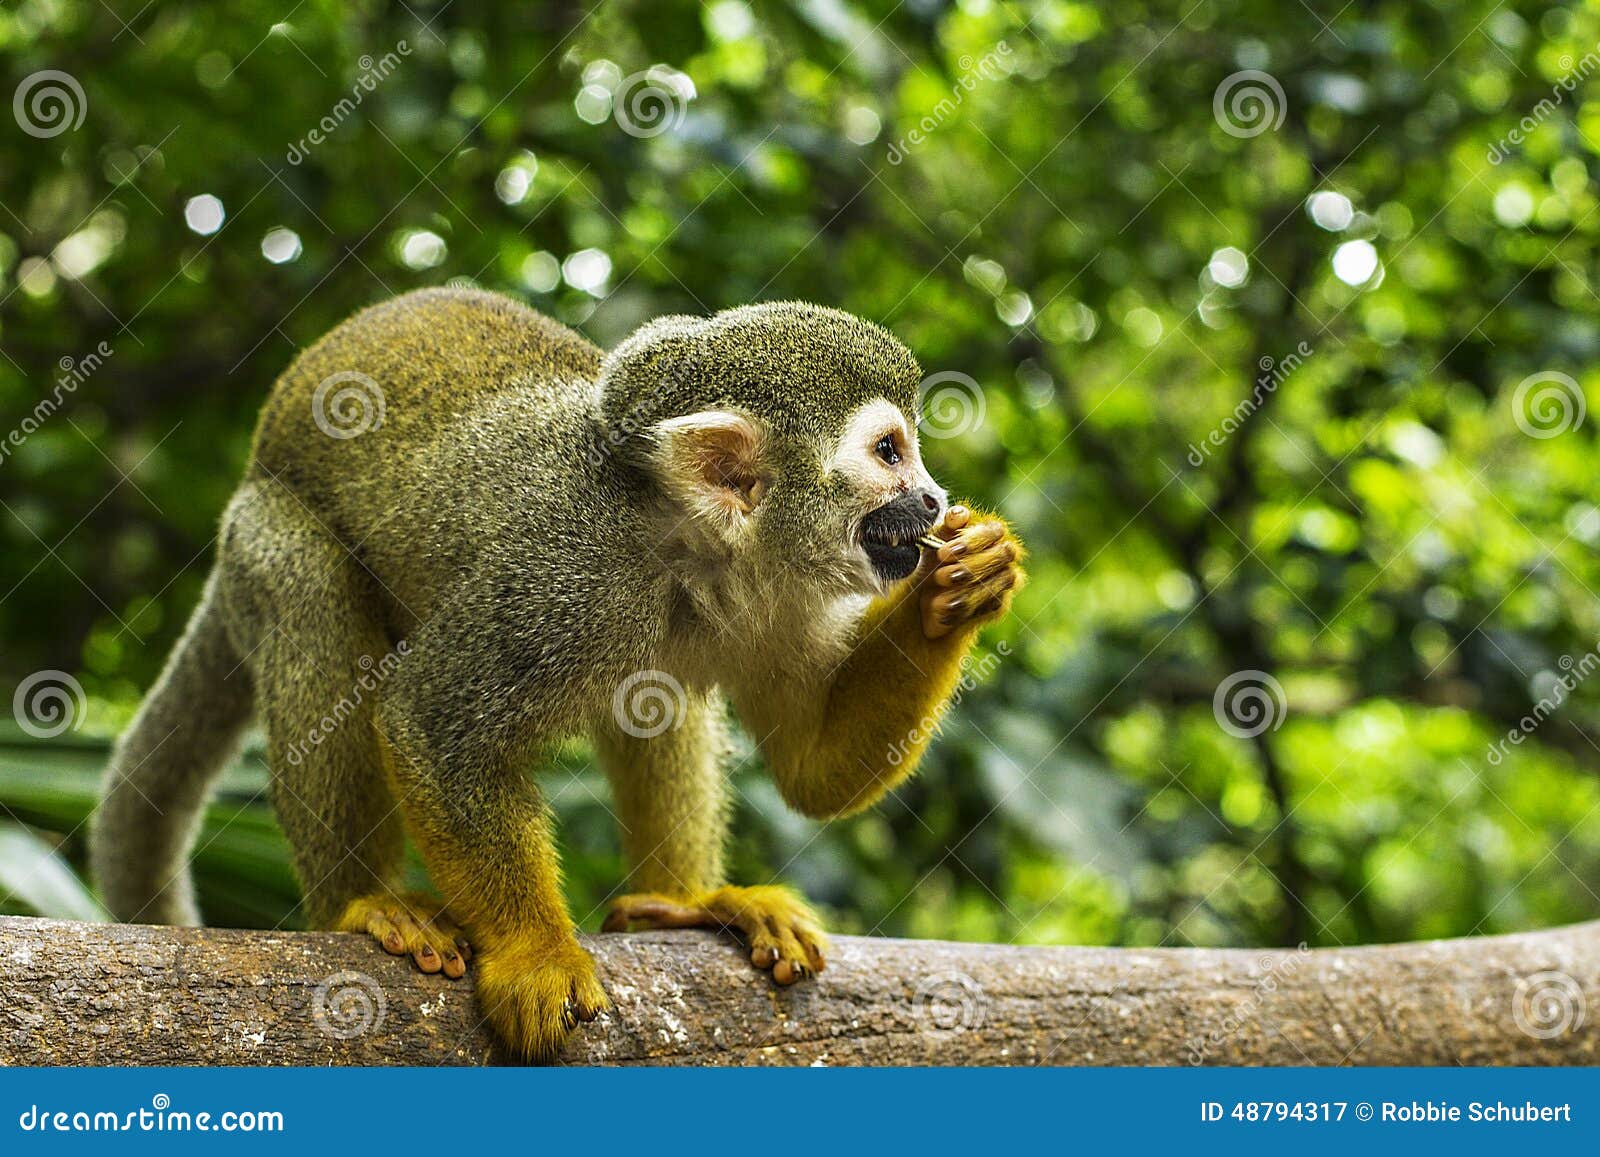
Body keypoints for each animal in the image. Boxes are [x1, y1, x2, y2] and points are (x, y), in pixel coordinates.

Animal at [91, 286, 1025, 1061]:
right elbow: (431, 719)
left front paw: (956, 588)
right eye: (890, 451)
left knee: (662, 699)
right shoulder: (559, 575)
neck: (687, 549)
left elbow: (811, 768)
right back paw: (362, 903)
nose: (934, 501)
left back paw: (685, 899)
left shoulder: (787, 597)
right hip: (260, 531)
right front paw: (535, 952)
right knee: (307, 586)